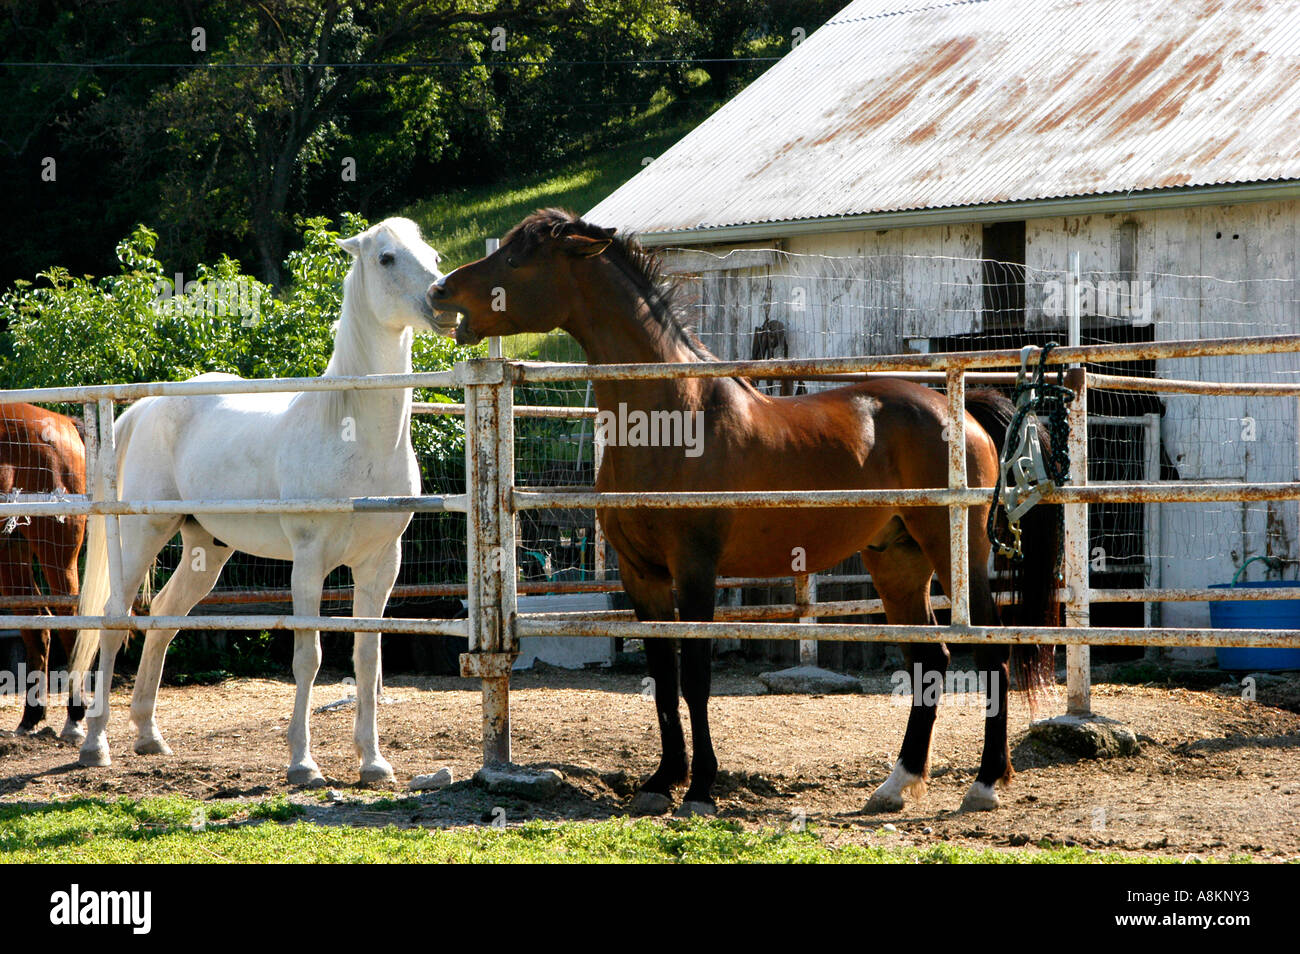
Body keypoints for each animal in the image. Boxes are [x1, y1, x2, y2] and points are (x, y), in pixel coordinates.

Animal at [1, 403, 87, 739]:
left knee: (70, 623)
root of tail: (65, 424)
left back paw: (75, 717)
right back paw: (31, 716)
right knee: (37, 625)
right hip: (12, 553)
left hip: (56, 554)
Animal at [69, 217, 453, 785]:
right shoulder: (310, 563)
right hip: (144, 534)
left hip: (206, 549)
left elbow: (367, 658)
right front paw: (303, 764)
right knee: (116, 620)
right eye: (386, 257)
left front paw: (373, 763)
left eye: (433, 254)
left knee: (163, 616)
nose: (442, 300)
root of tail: (147, 407)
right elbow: (308, 657)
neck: (352, 433)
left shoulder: (382, 563)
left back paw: (149, 736)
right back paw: (96, 745)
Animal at [429, 208, 1061, 815]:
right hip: (896, 562)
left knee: (992, 654)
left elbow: (696, 679)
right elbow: (663, 680)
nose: (440, 291)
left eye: (518, 258)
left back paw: (984, 784)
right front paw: (661, 782)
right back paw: (896, 785)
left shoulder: (696, 570)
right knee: (929, 660)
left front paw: (700, 789)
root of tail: (965, 413)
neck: (671, 416)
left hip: (957, 555)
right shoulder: (642, 577)